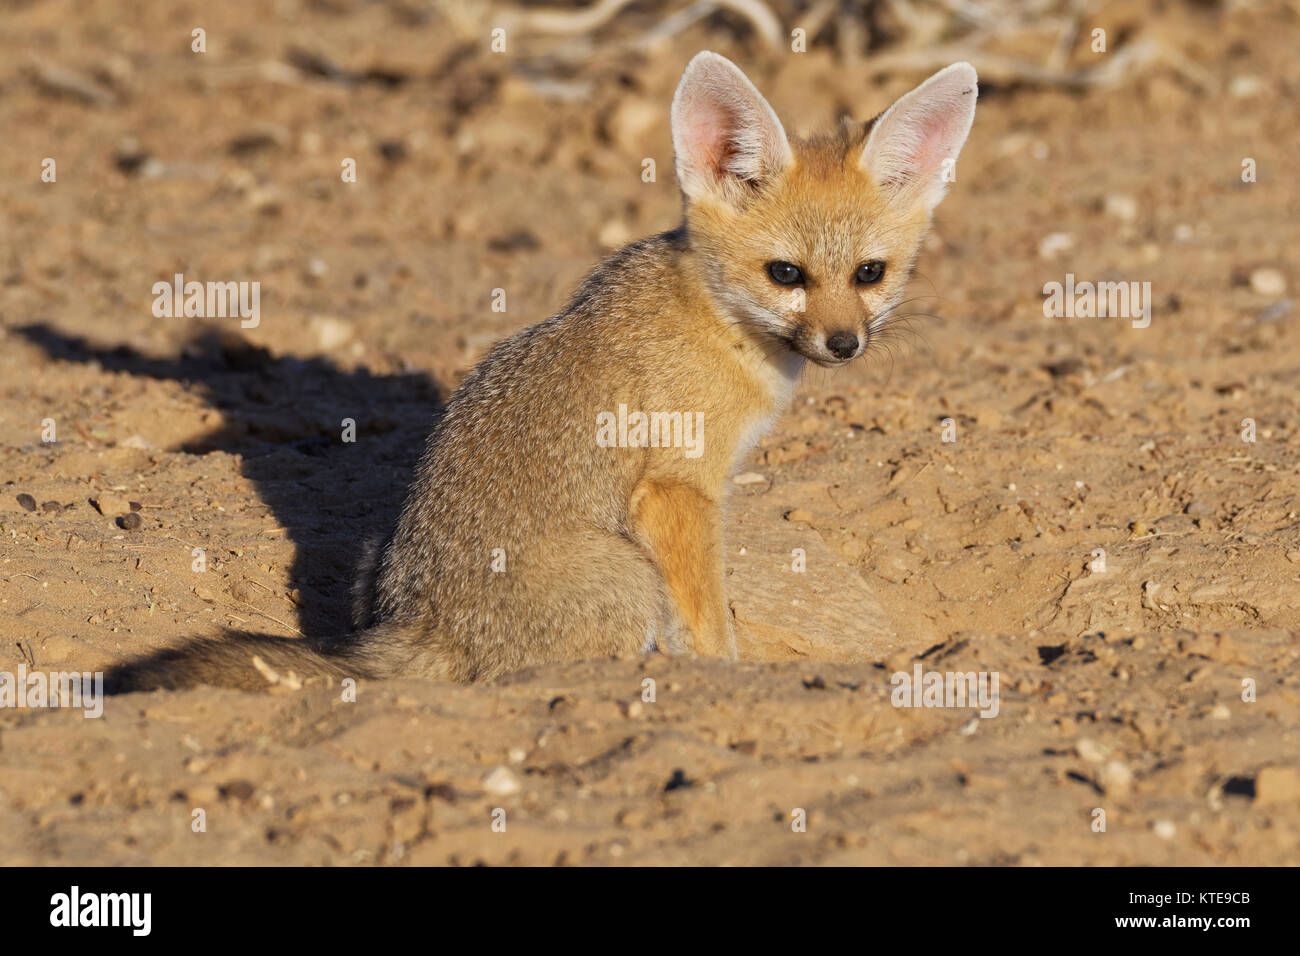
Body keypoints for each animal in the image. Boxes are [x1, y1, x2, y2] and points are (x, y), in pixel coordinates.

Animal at [106, 51, 978, 693]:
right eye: (786, 275)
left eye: (869, 274)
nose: (844, 343)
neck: (719, 324)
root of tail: (423, 625)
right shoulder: (675, 492)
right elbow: (709, 618)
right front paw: (723, 676)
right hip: (625, 572)